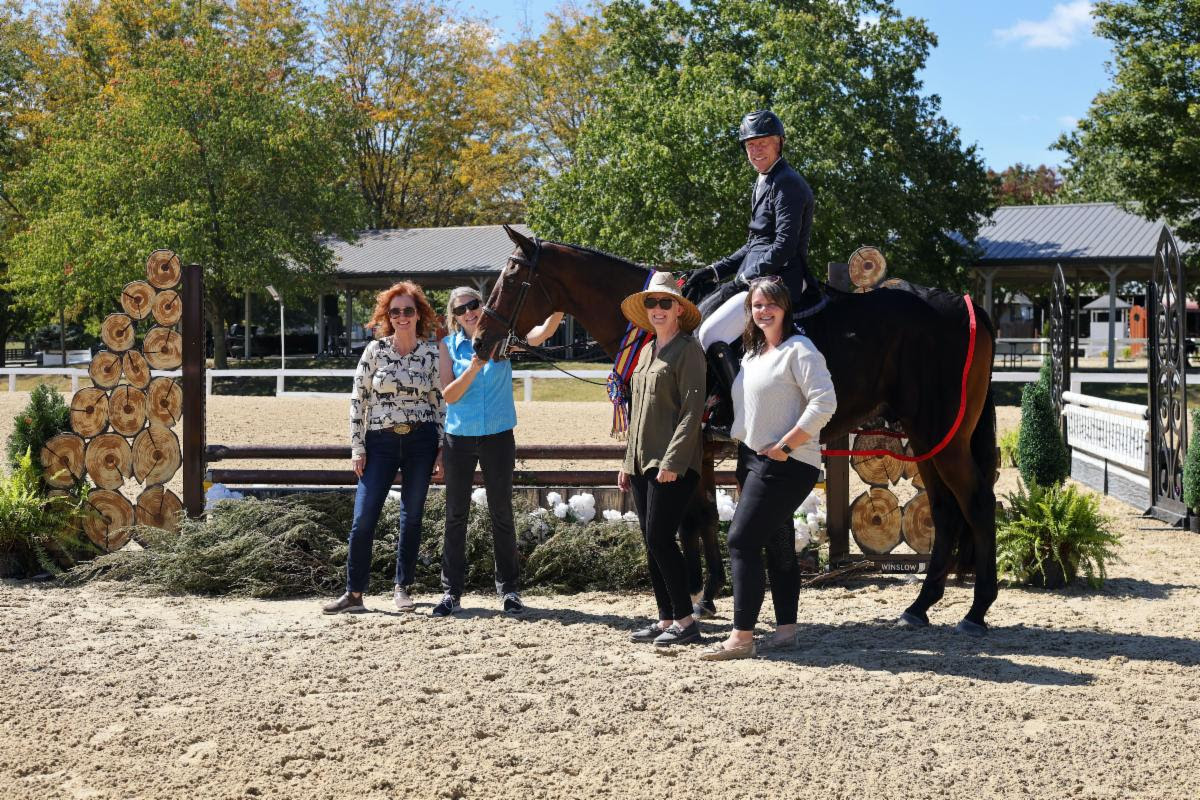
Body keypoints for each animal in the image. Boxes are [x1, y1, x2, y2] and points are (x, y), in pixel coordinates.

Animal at [476, 225, 999, 634]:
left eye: (512, 278)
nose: (480, 340)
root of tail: (964, 306)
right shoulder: (701, 449)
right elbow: (704, 515)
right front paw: (706, 594)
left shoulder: (687, 441)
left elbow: (690, 518)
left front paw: (694, 595)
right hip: (926, 437)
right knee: (945, 509)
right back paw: (920, 607)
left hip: (939, 434)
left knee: (974, 500)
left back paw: (975, 611)